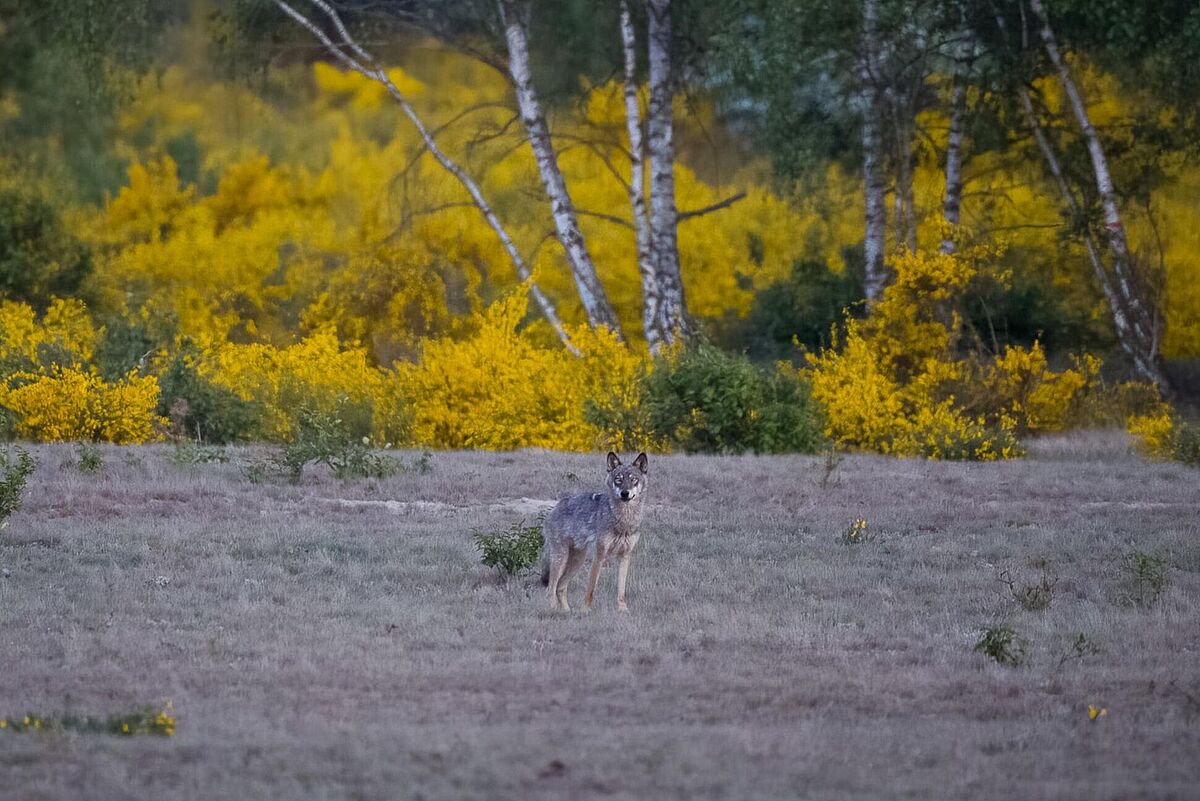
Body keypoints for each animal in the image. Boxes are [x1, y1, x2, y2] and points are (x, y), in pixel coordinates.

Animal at [538, 451, 648, 612]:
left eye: (633, 480)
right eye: (618, 480)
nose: (625, 493)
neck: (623, 519)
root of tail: (555, 508)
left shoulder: (625, 556)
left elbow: (621, 589)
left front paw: (622, 609)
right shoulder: (600, 555)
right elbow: (591, 587)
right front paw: (585, 610)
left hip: (577, 561)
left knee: (560, 588)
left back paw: (567, 612)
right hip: (561, 558)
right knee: (550, 588)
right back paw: (554, 610)